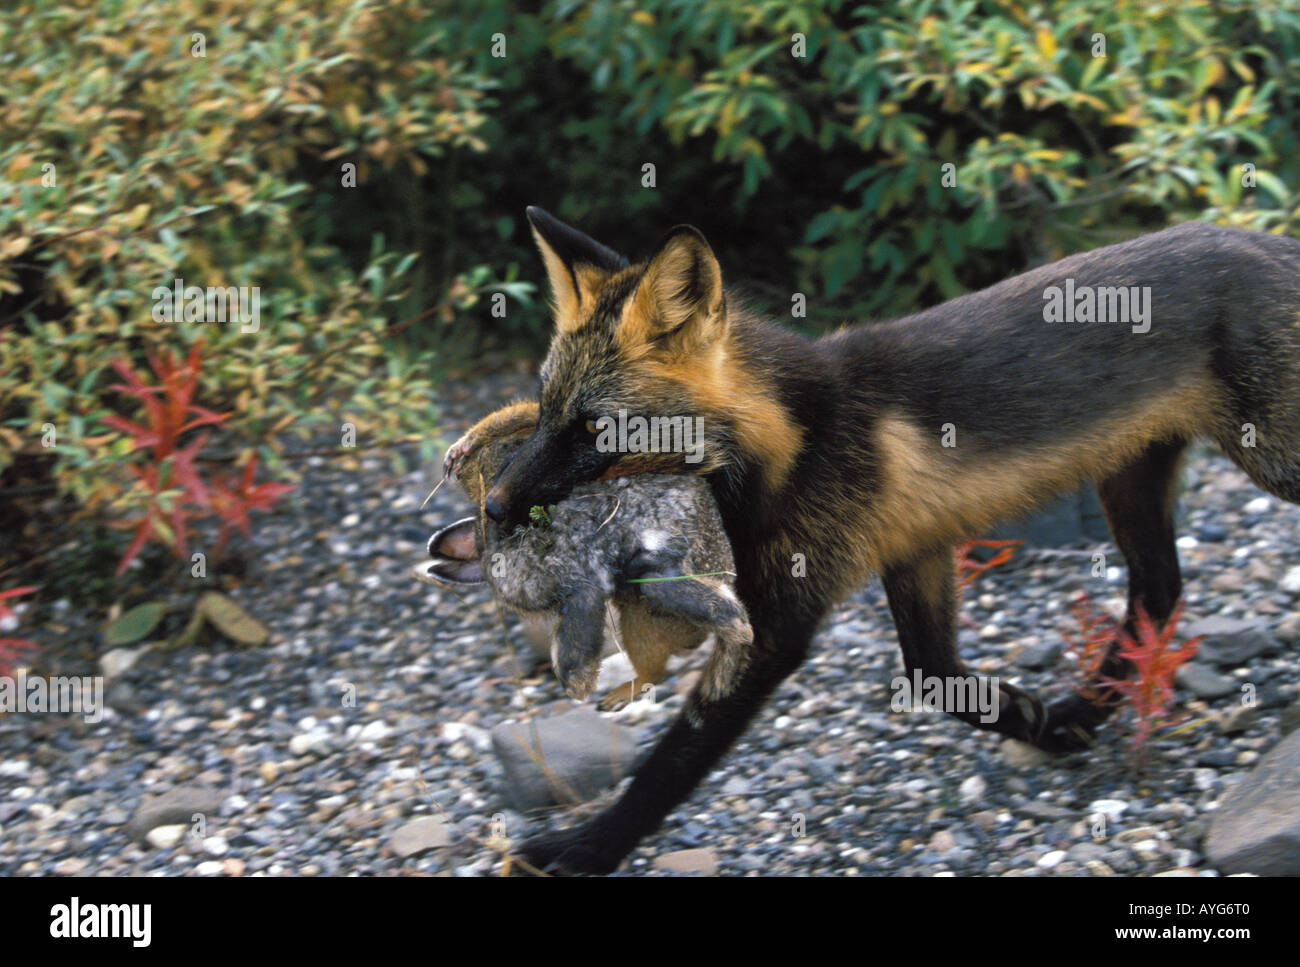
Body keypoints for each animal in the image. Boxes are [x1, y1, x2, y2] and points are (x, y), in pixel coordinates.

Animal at [468, 207, 1300, 875]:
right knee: (1159, 592)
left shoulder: (780, 620)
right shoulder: (917, 550)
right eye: (545, 409)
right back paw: (1085, 711)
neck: (796, 438)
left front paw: (588, 847)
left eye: (595, 428)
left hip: (1272, 463)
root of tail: (1268, 238)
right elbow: (938, 677)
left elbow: (670, 765)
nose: (497, 507)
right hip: (1131, 480)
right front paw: (1039, 721)